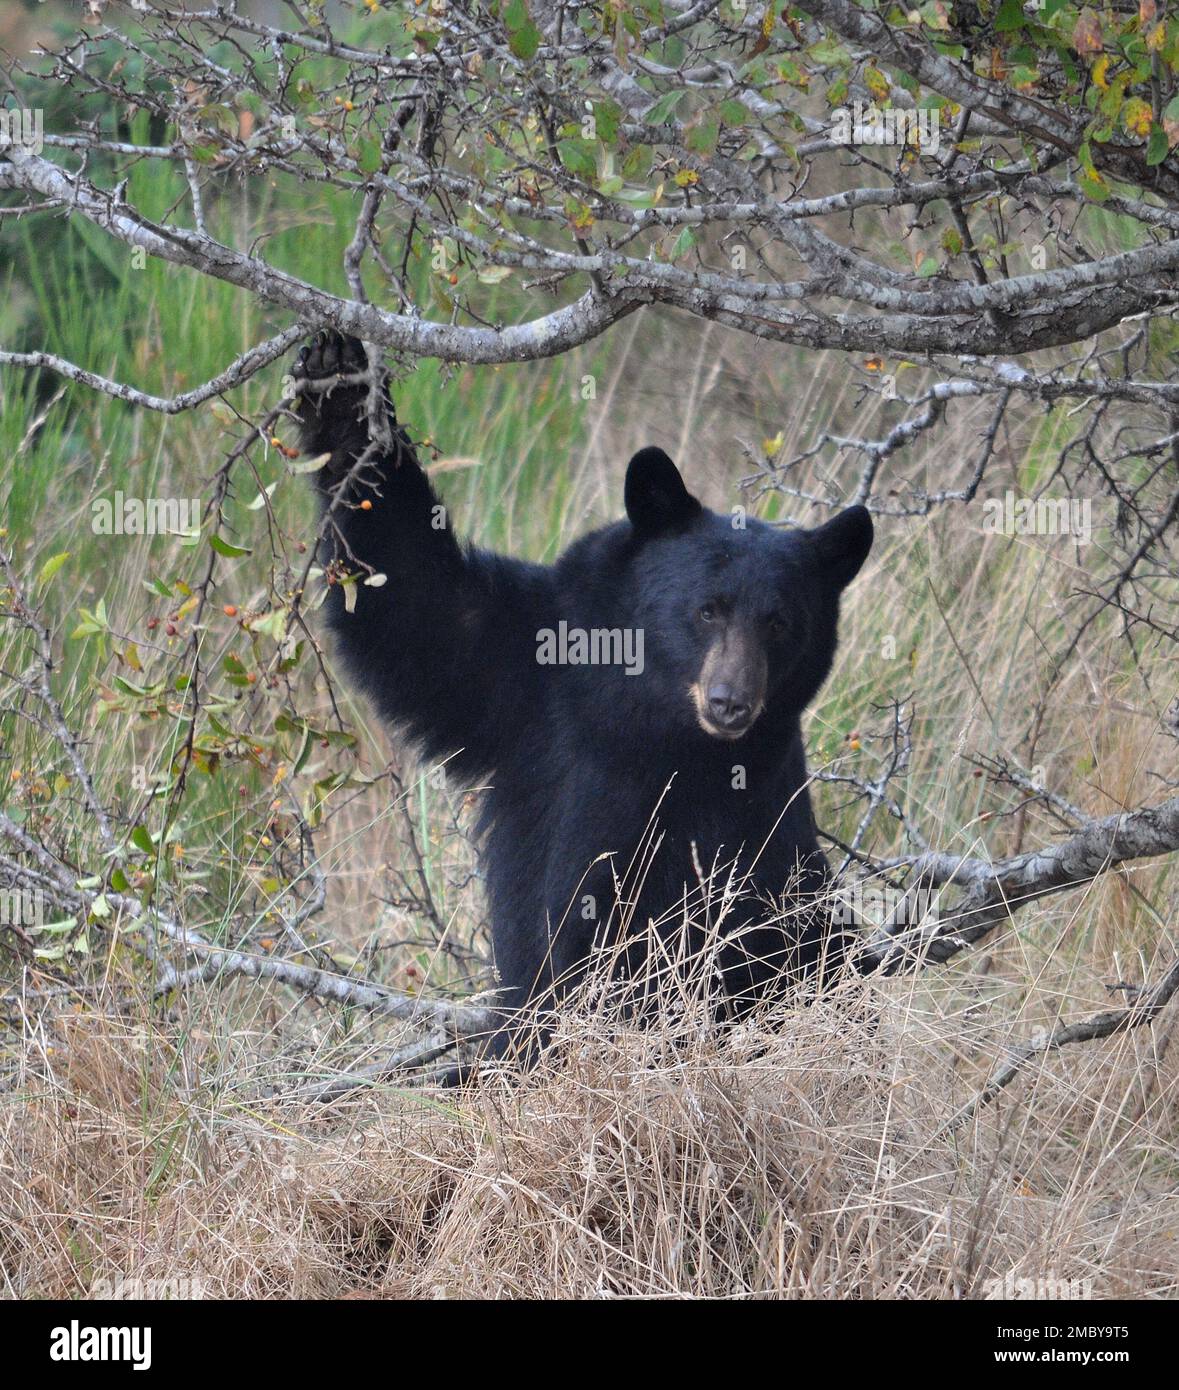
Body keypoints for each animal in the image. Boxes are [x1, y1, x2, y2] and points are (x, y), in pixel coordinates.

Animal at [291, 330, 873, 1066]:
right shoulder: (528, 677)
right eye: (707, 610)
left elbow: (741, 910)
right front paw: (339, 378)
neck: (660, 730)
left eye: (780, 623)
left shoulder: (760, 807)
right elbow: (415, 599)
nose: (730, 702)